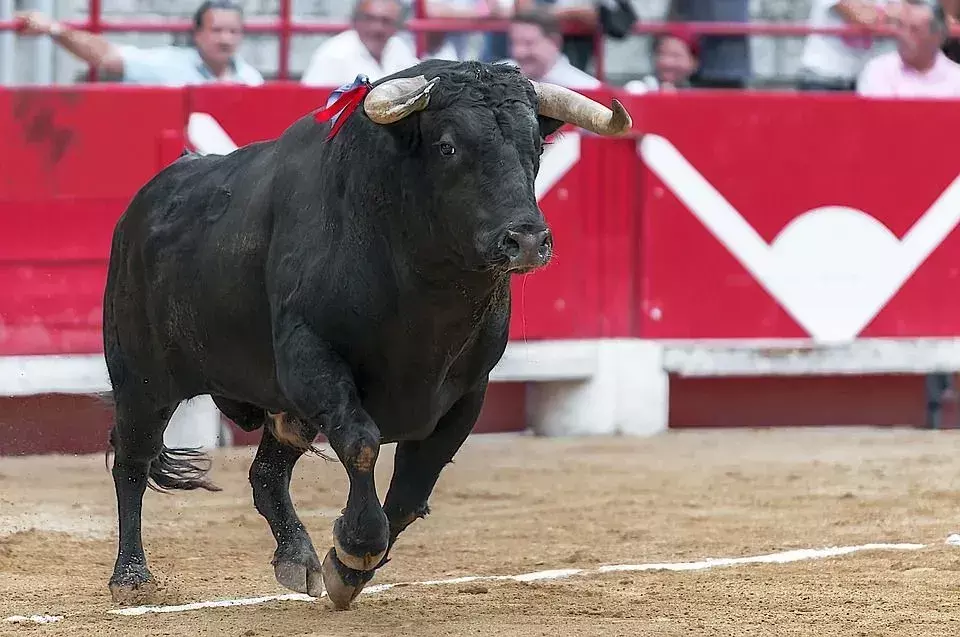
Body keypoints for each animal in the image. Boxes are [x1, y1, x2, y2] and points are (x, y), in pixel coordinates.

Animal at [103, 60, 632, 612]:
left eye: (537, 147)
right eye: (448, 146)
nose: (526, 239)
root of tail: (144, 203)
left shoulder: (468, 392)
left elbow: (413, 488)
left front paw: (346, 569)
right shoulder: (313, 358)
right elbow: (361, 444)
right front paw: (356, 548)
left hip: (282, 407)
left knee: (267, 473)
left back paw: (297, 557)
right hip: (141, 379)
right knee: (132, 461)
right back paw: (131, 576)